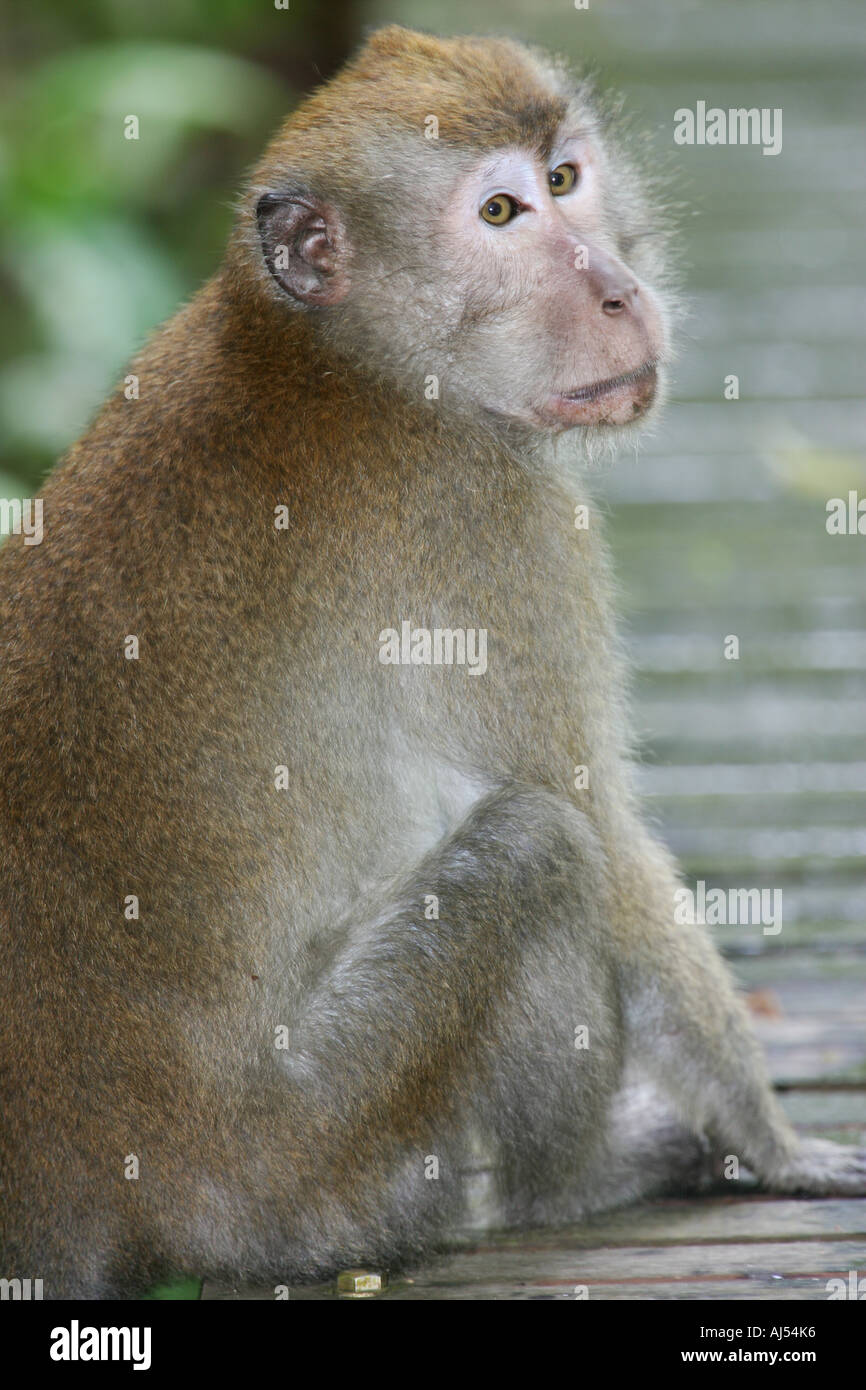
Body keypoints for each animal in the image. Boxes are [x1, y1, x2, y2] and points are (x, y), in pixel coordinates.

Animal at [1, 25, 864, 1301]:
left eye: (563, 178)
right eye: (499, 212)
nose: (616, 288)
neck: (339, 353)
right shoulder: (495, 518)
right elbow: (599, 832)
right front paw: (775, 1139)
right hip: (310, 1149)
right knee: (537, 849)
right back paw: (578, 1177)